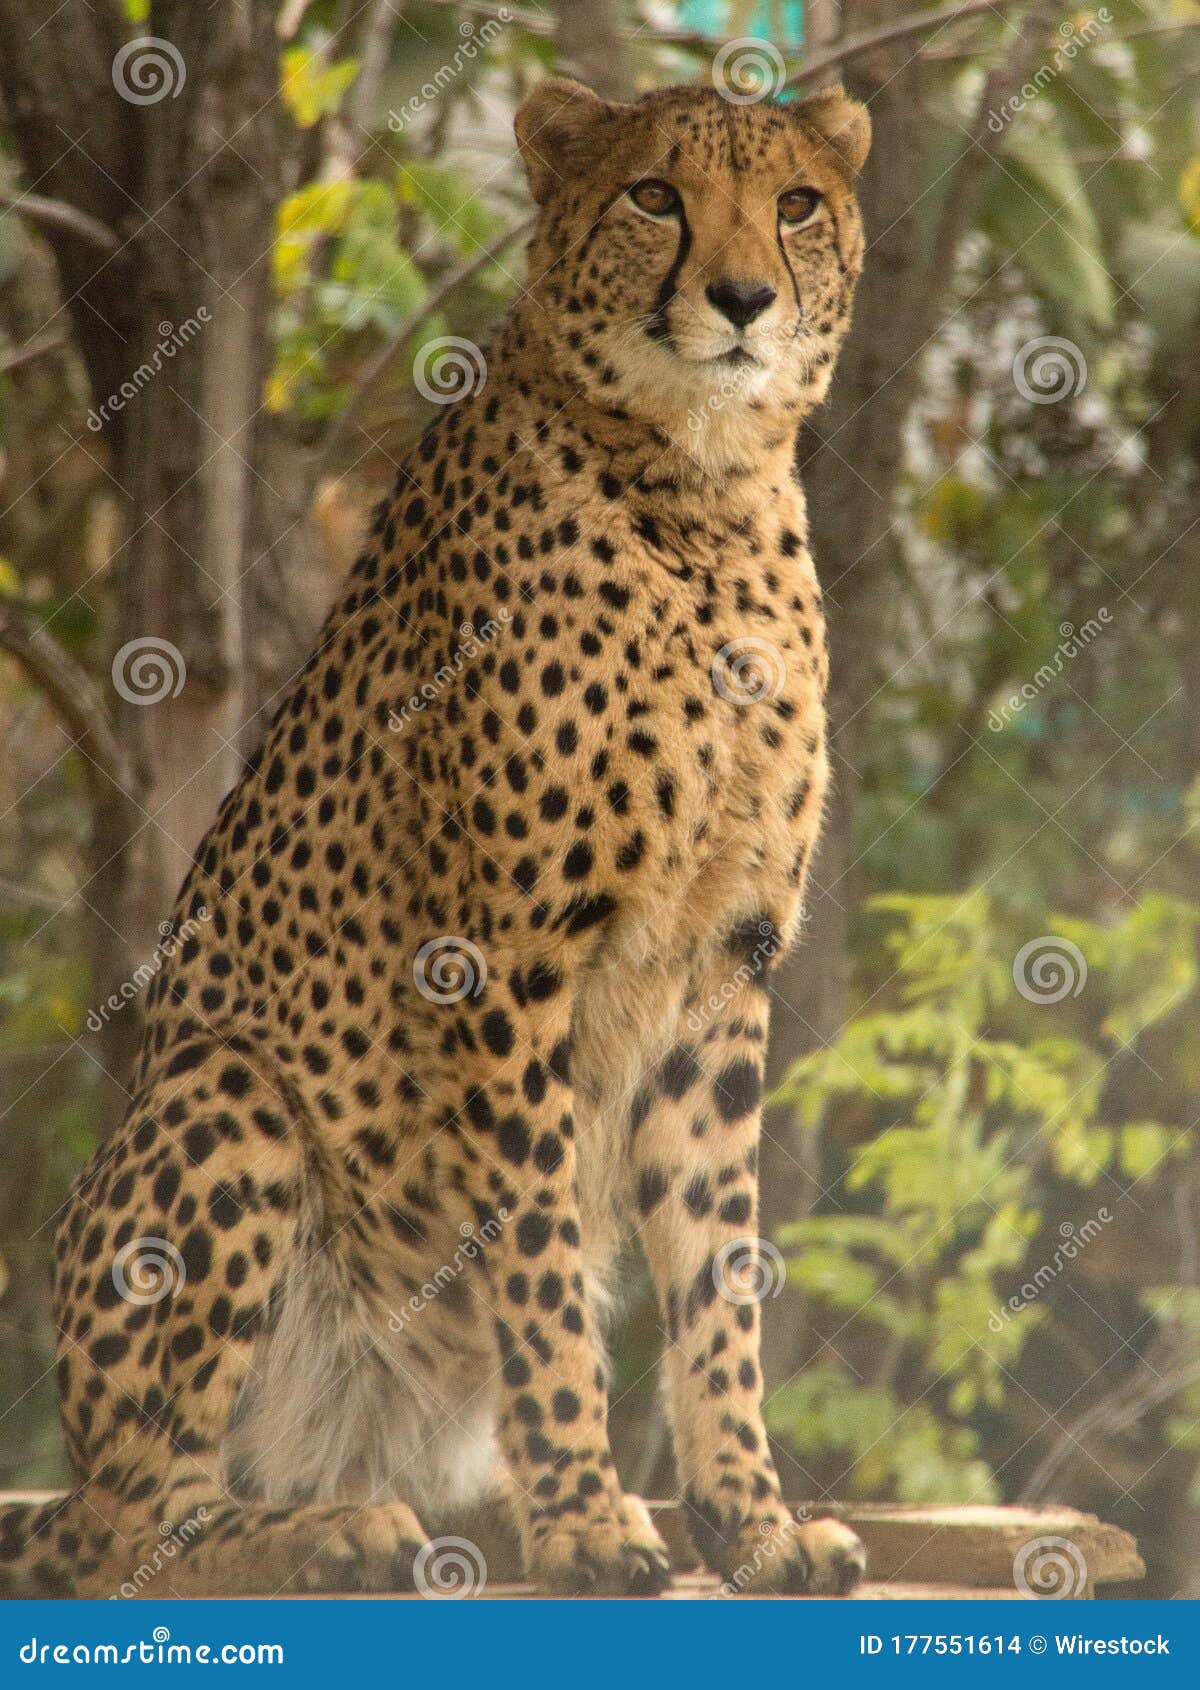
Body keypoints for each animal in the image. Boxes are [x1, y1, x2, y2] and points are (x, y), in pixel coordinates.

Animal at [1, 74, 872, 1599]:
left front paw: (754, 1523)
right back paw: (321, 1530)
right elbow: (536, 1256)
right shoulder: (501, 960)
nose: (743, 296)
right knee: (134, 1524)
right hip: (228, 1095)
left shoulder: (726, 964)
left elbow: (718, 1271)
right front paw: (587, 1518)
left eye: (799, 204)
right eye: (656, 195)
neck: (699, 490)